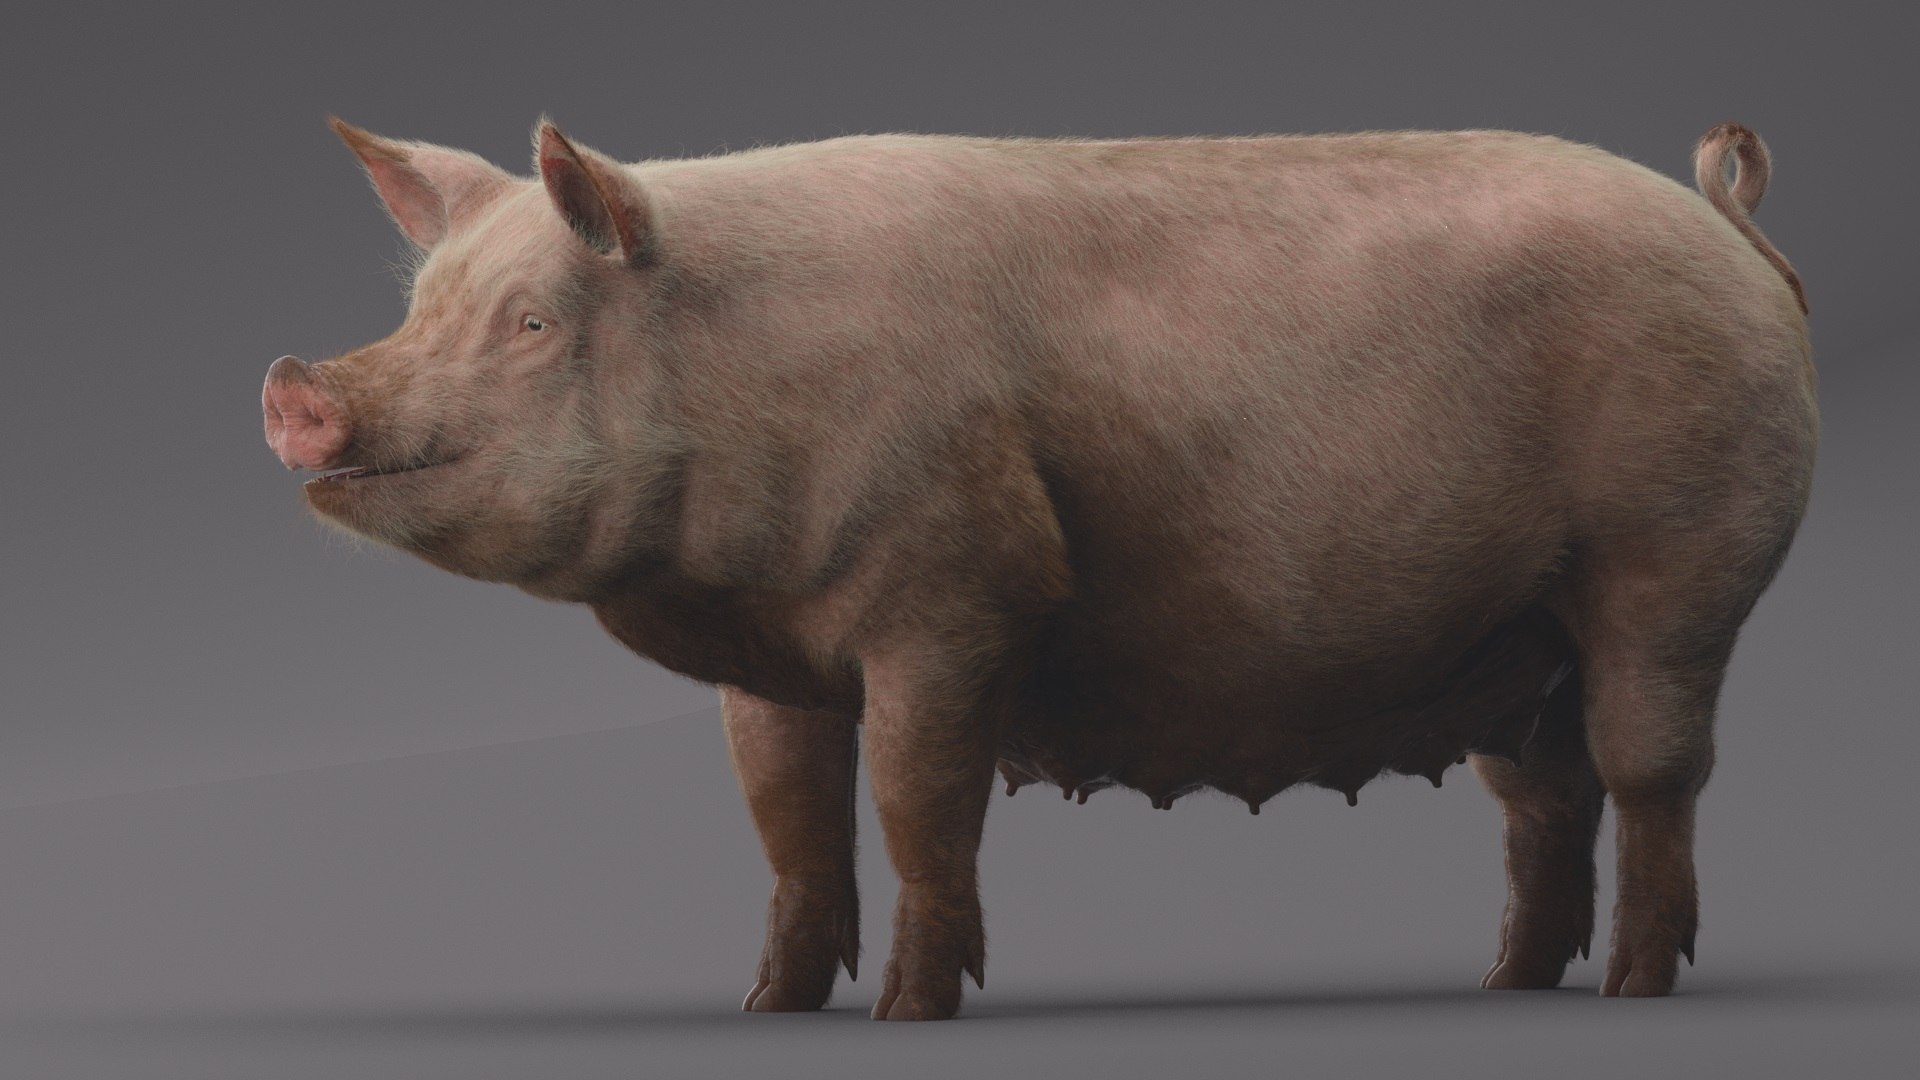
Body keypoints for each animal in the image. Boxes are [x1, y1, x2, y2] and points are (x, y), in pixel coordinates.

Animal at [265, 117, 1814, 1020]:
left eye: (531, 321)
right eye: (425, 302)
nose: (295, 386)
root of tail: (1731, 229)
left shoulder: (957, 592)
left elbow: (917, 805)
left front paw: (911, 1014)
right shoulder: (773, 656)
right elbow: (790, 826)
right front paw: (770, 1011)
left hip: (1675, 556)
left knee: (1653, 770)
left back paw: (1633, 991)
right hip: (1516, 630)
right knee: (1544, 797)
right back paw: (1507, 984)